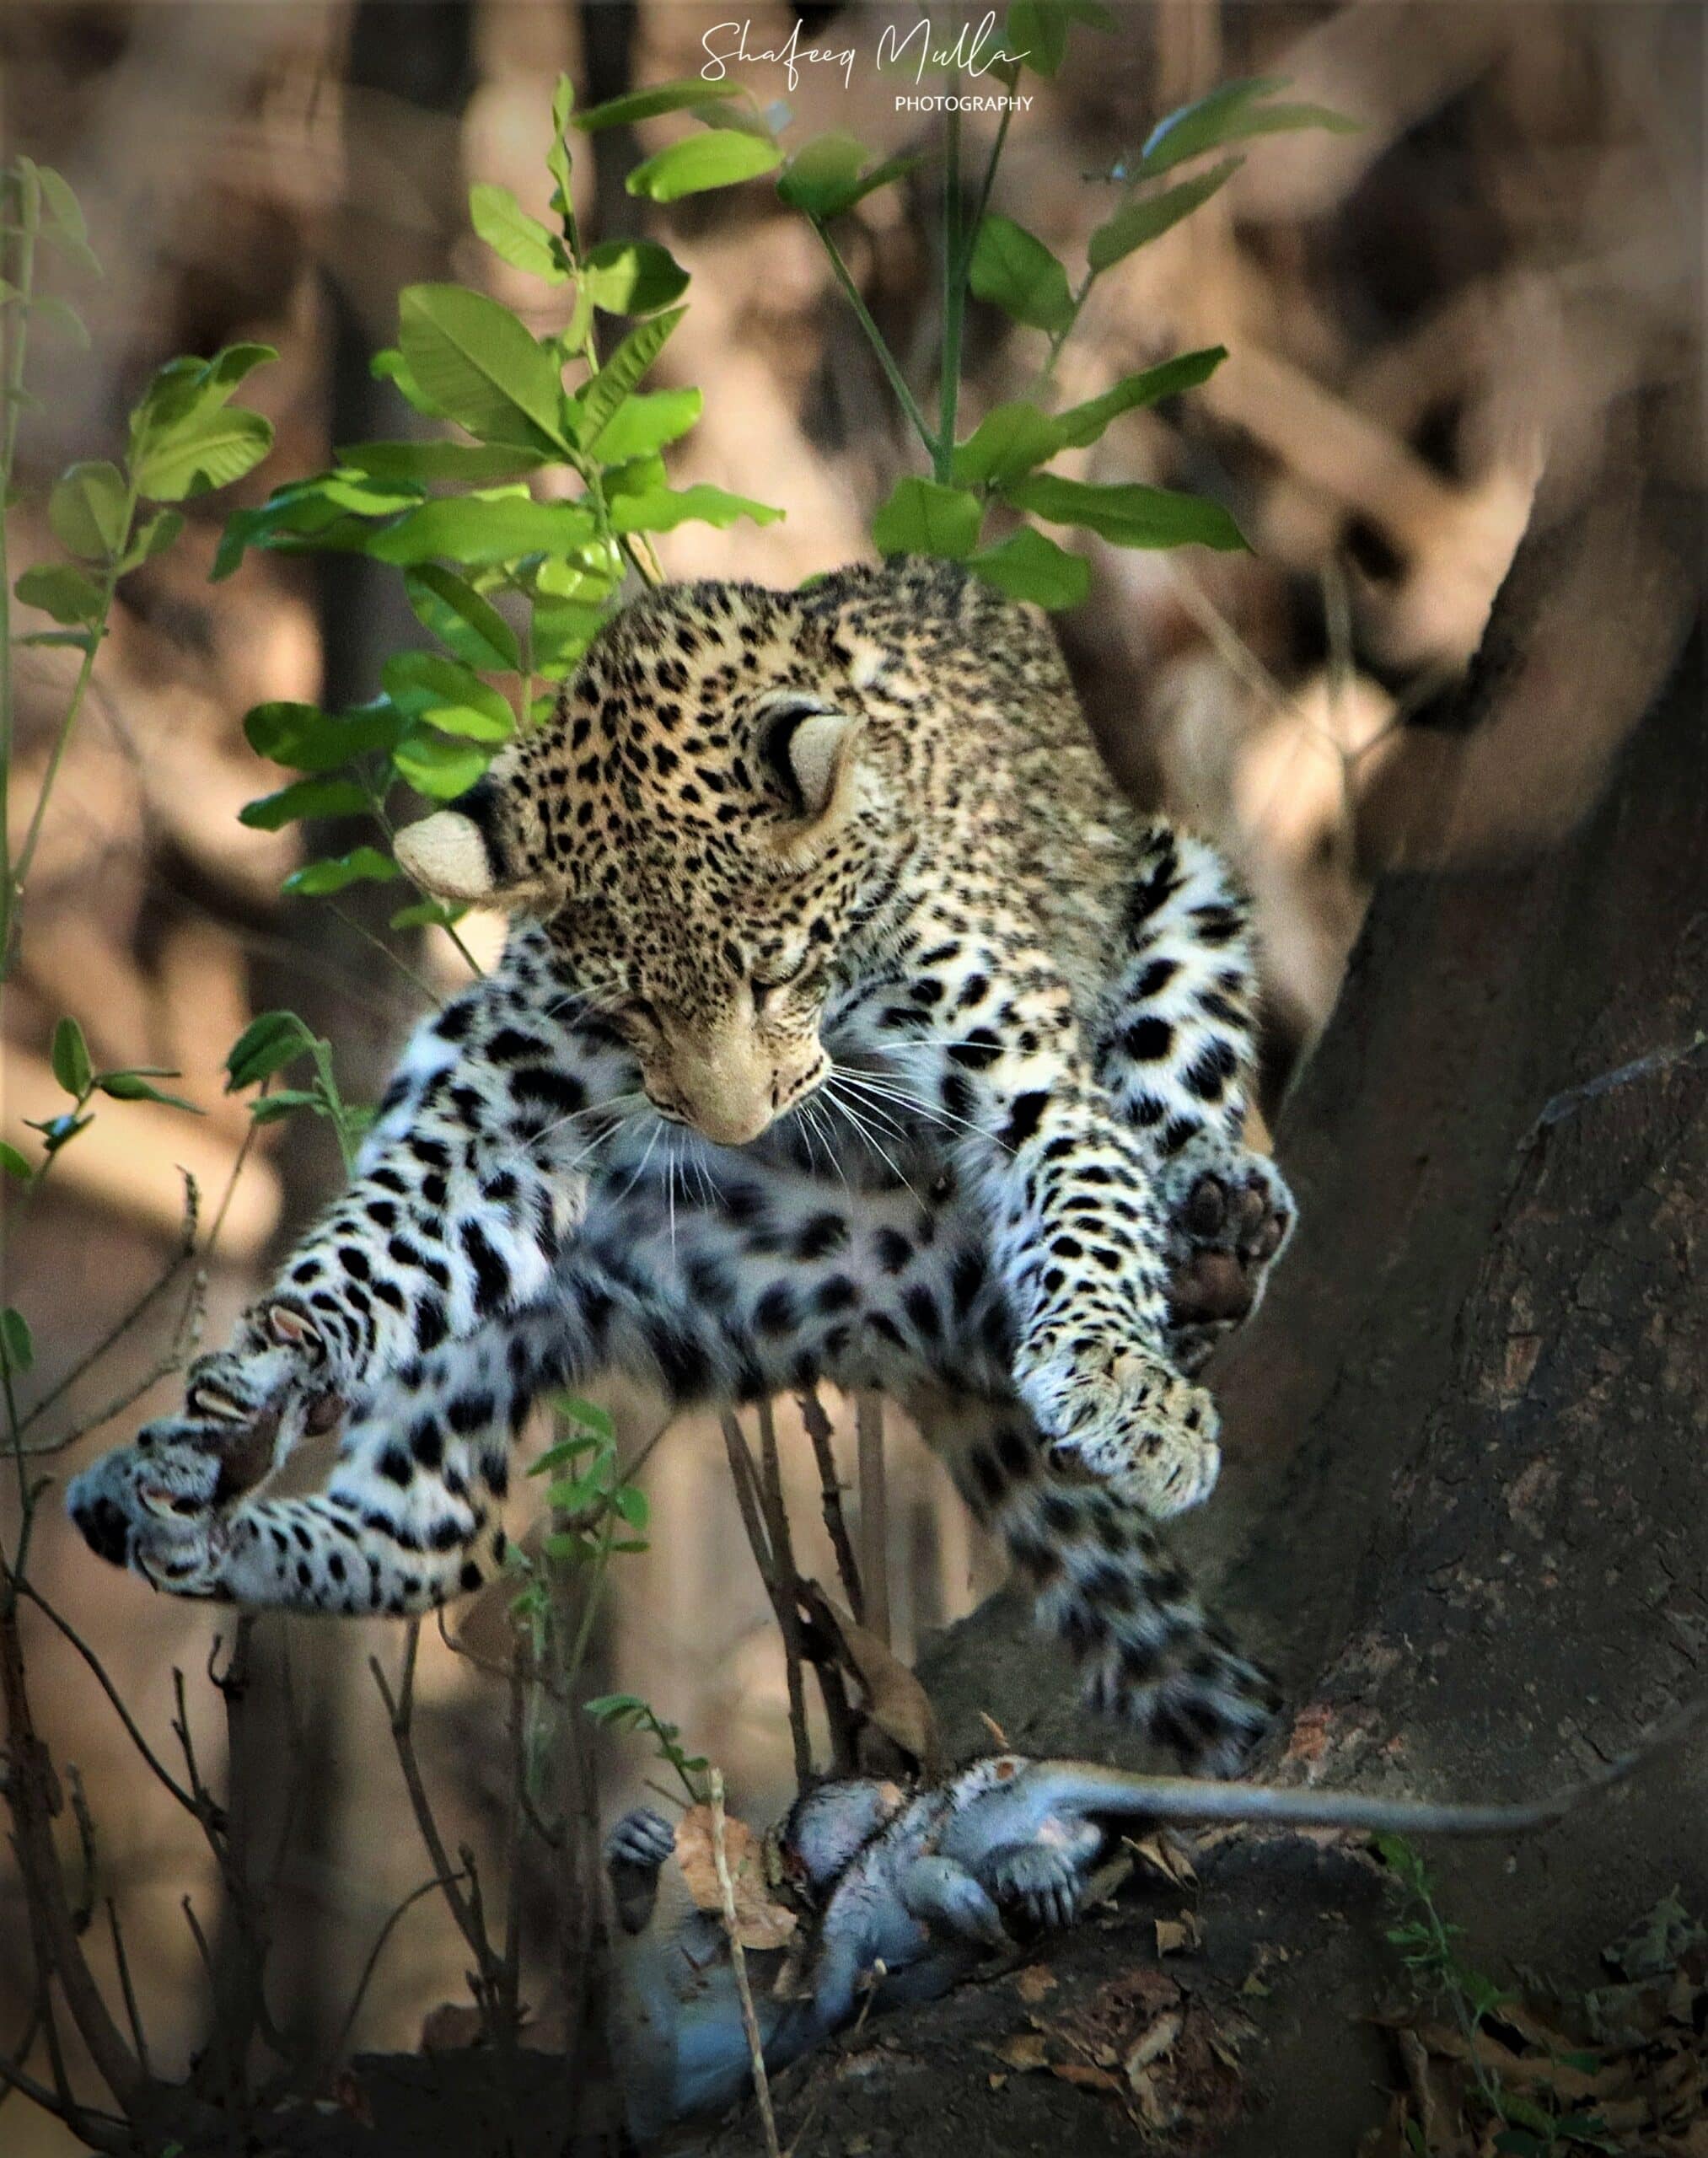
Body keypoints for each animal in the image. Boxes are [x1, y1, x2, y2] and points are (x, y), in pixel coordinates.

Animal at [68, 558, 1294, 1773]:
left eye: (774, 975)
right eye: (631, 1009)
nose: (733, 1130)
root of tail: (916, 1327)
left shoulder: (1025, 1078)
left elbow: (1086, 1197)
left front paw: (1122, 1389)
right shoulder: (507, 1104)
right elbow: (391, 1230)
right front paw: (265, 1361)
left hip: (1180, 887)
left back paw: (1214, 1240)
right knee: (430, 1532)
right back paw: (180, 1487)